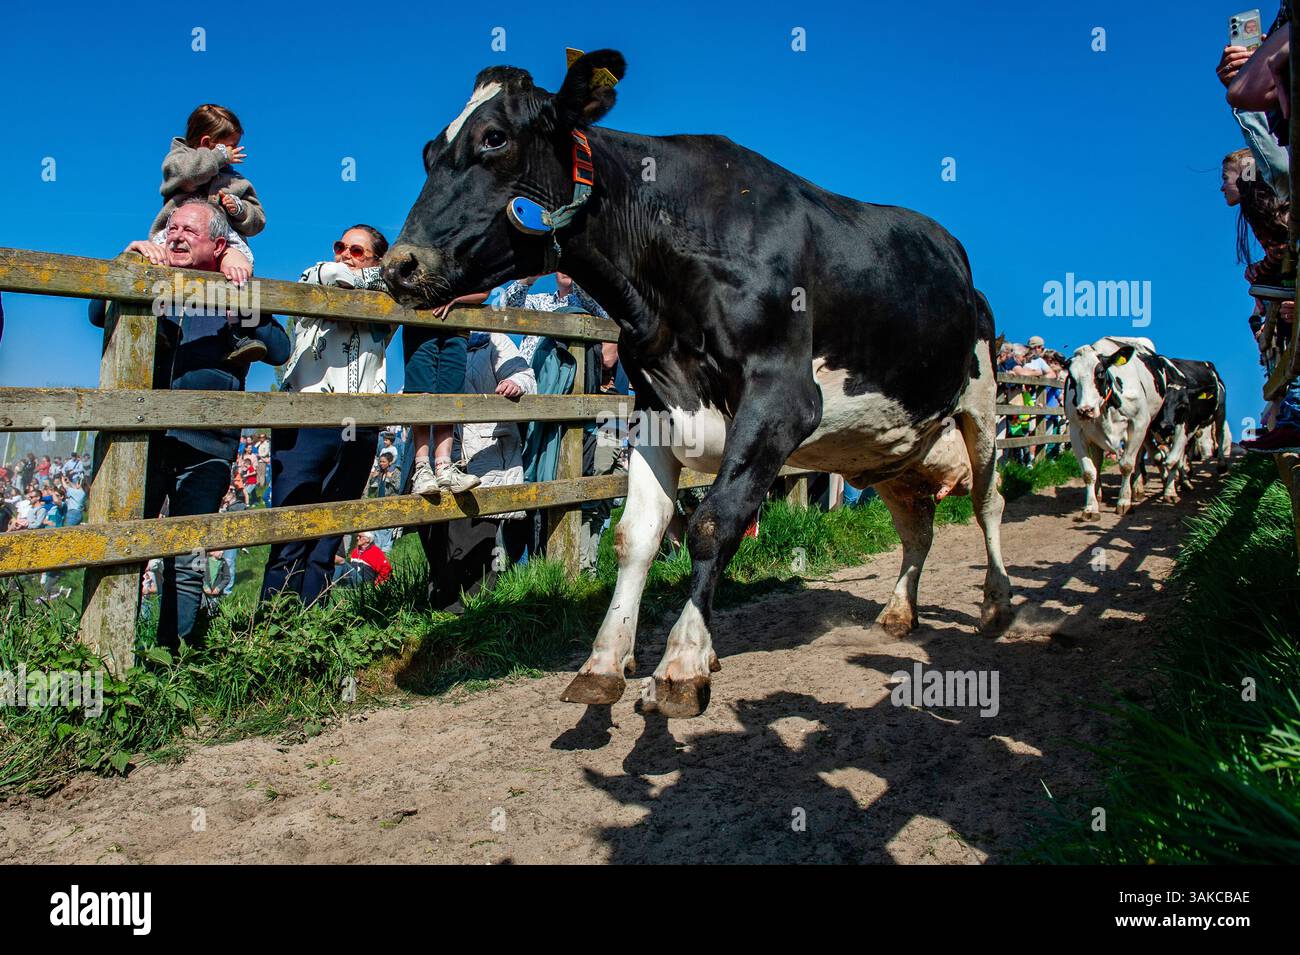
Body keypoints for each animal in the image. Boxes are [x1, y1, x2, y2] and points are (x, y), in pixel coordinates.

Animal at [382, 50, 1012, 717]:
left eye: (495, 138)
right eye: (428, 151)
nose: (398, 266)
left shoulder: (783, 400)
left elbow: (713, 523)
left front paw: (683, 661)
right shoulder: (655, 403)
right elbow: (636, 536)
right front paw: (605, 660)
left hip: (980, 404)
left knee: (987, 501)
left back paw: (997, 603)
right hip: (887, 443)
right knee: (917, 521)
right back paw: (898, 611)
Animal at [1064, 336, 1168, 519]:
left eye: (1099, 373)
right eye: (1071, 378)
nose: (1085, 410)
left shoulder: (1138, 423)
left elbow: (1127, 464)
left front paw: (1124, 502)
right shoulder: (1076, 430)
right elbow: (1089, 472)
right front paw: (1090, 508)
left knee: (1139, 457)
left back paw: (1136, 488)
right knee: (1098, 462)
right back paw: (1098, 493)